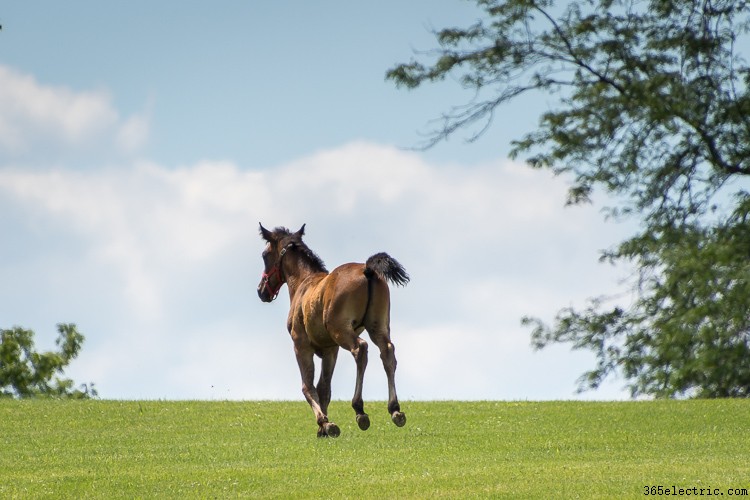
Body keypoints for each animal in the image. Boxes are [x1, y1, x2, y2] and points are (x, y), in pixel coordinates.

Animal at [258, 224, 412, 438]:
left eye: (264, 255)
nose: (261, 291)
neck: (303, 282)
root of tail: (367, 270)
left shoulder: (301, 345)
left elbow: (308, 386)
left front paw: (325, 422)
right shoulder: (330, 349)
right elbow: (324, 387)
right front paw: (322, 429)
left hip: (341, 330)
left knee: (360, 349)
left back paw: (360, 410)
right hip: (378, 326)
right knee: (387, 352)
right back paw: (395, 410)